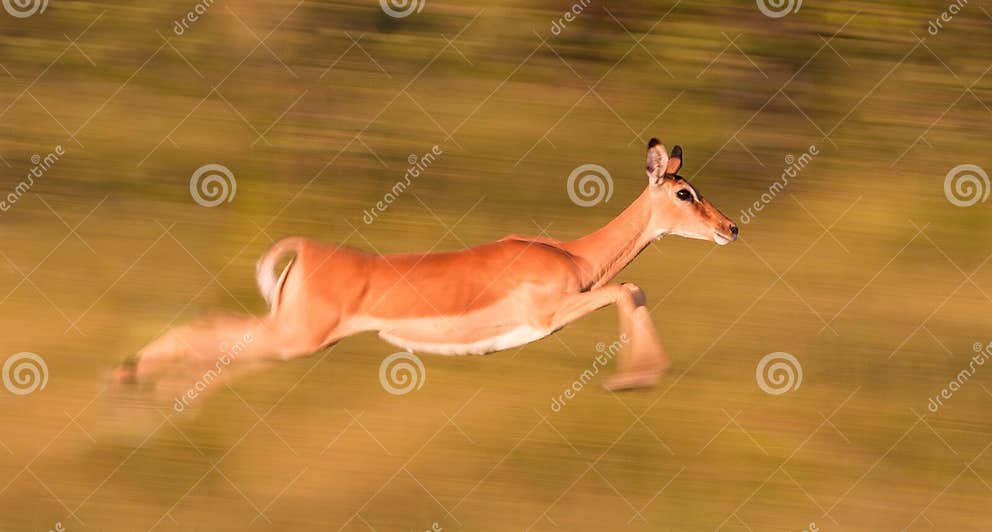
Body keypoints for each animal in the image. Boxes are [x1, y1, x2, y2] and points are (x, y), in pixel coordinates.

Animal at [119, 139, 737, 391]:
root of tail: (306, 250)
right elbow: (629, 288)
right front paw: (632, 379)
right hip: (295, 336)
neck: (572, 253)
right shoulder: (549, 315)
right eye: (684, 192)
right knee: (204, 339)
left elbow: (632, 289)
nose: (731, 227)